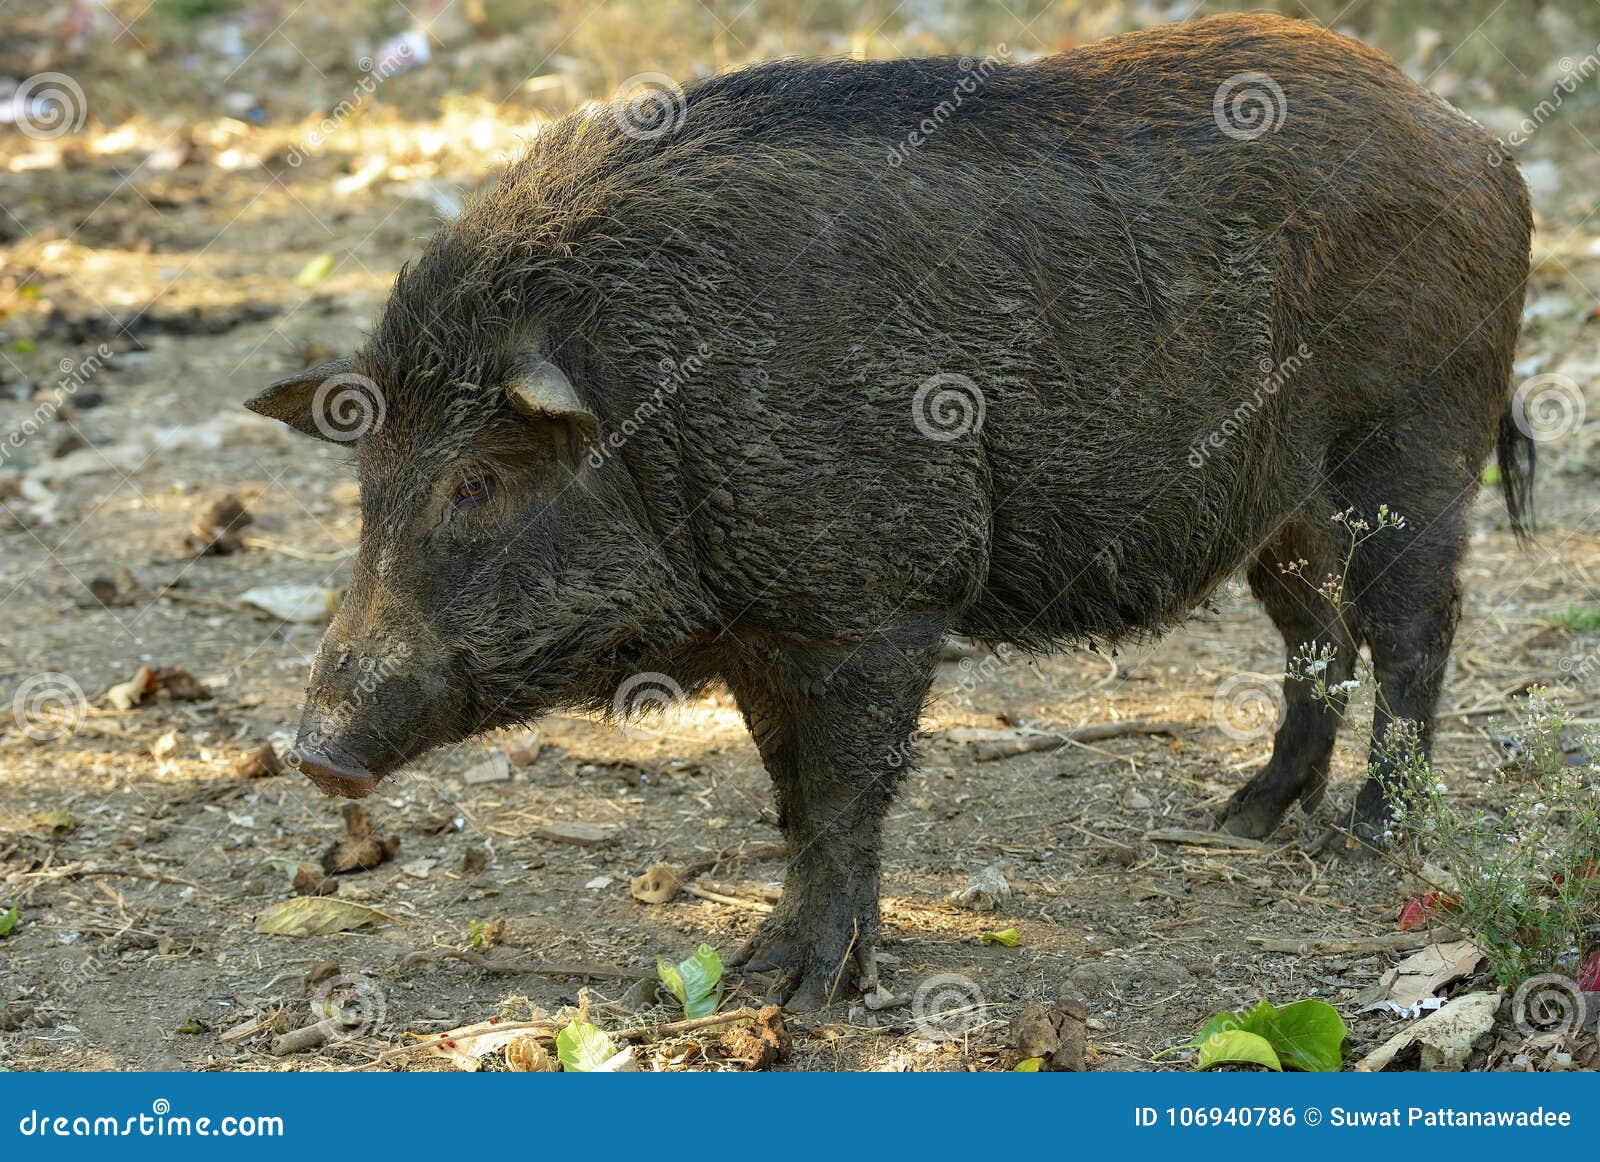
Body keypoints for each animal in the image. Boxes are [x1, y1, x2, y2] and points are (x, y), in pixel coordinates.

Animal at [246, 12, 1532, 1008]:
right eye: (366, 486)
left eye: (476, 480)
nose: (316, 754)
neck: (658, 406)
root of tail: (1473, 137)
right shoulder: (762, 635)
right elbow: (789, 796)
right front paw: (765, 974)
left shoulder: (875, 605)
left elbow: (841, 795)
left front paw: (803, 995)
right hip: (1279, 507)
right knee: (1319, 637)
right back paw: (1242, 821)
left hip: (1411, 436)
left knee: (1413, 628)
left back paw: (1367, 836)